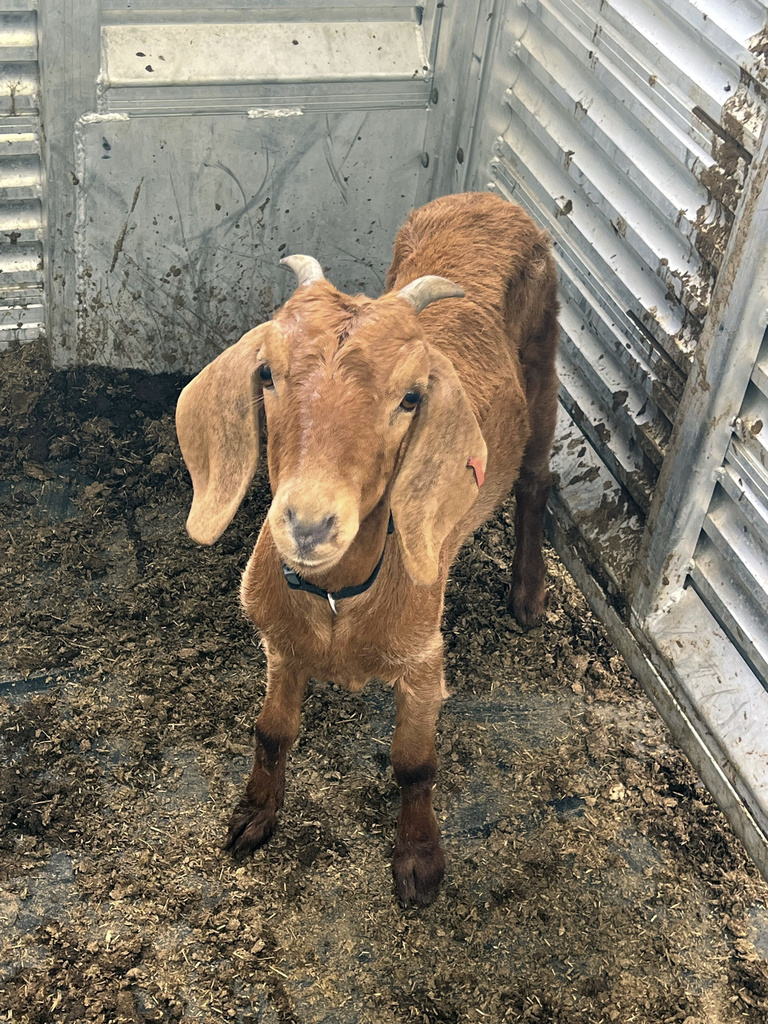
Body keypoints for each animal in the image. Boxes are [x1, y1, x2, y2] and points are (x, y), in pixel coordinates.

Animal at [175, 192, 559, 905]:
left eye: (410, 397)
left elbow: (414, 763)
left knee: (535, 478)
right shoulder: (279, 645)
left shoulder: (423, 660)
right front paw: (253, 815)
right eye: (266, 372)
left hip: (545, 361)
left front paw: (419, 863)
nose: (309, 522)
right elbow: (271, 730)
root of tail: (487, 196)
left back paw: (527, 596)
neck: (338, 602)